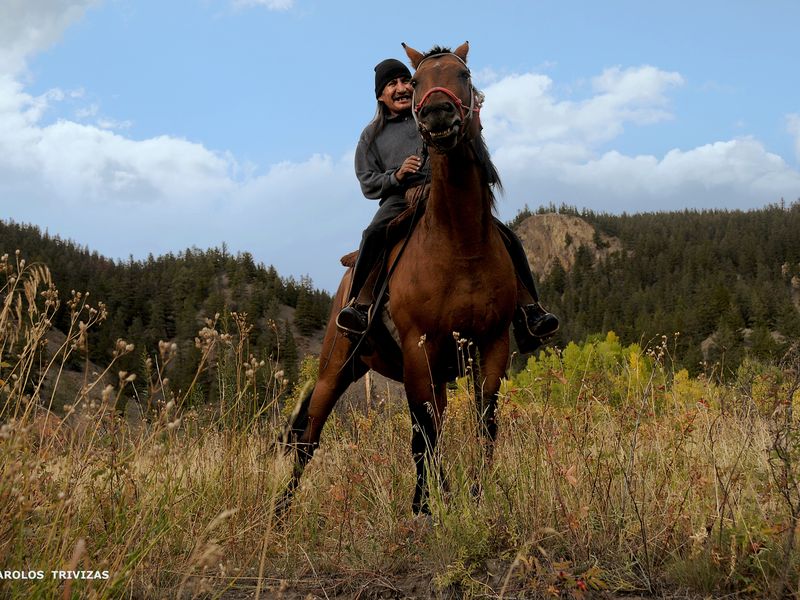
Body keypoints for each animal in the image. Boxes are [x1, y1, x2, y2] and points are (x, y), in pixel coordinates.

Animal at [280, 41, 517, 515]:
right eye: (417, 80)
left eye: (464, 75)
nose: (439, 113)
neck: (460, 243)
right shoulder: (416, 347)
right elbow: (422, 434)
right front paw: (425, 508)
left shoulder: (492, 345)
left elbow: (483, 424)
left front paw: (475, 497)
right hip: (336, 368)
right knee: (308, 437)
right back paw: (279, 514)